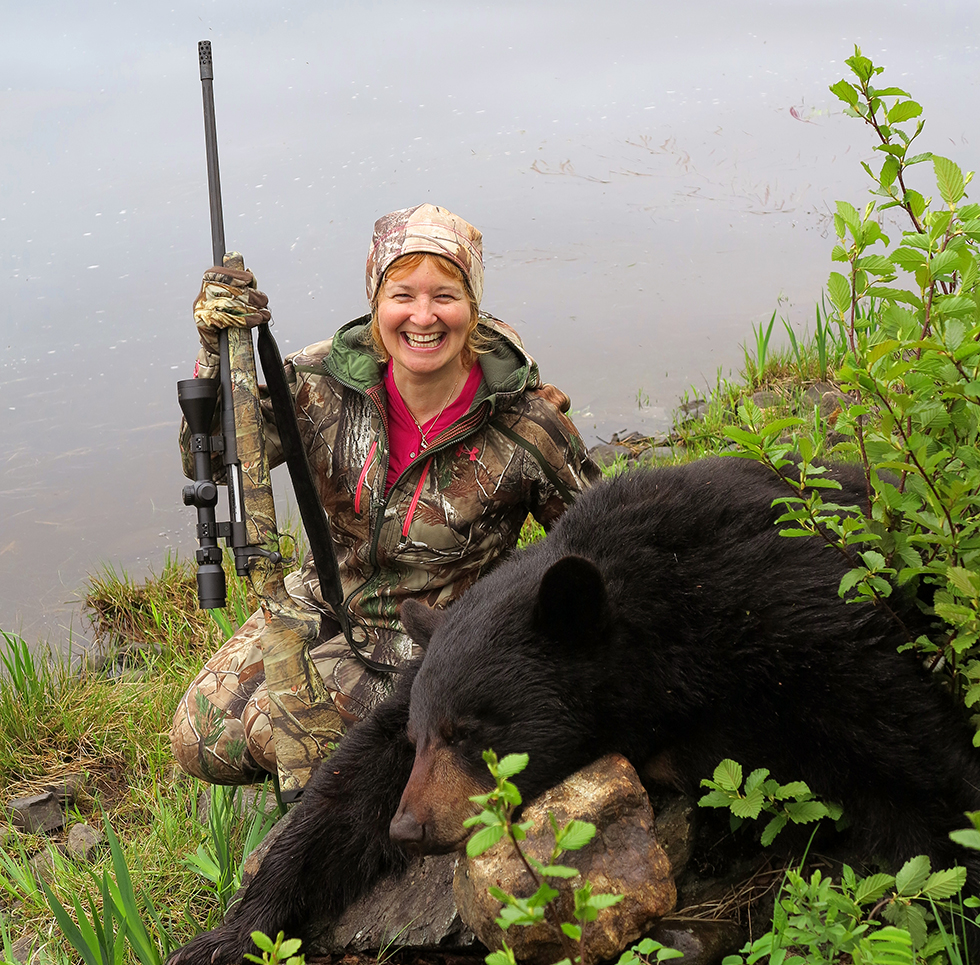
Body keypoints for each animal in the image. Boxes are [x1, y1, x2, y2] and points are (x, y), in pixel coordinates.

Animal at [169, 457, 980, 965]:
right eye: (427, 735)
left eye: (472, 731)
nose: (412, 826)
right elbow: (347, 787)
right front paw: (227, 933)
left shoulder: (788, 620)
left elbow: (913, 763)